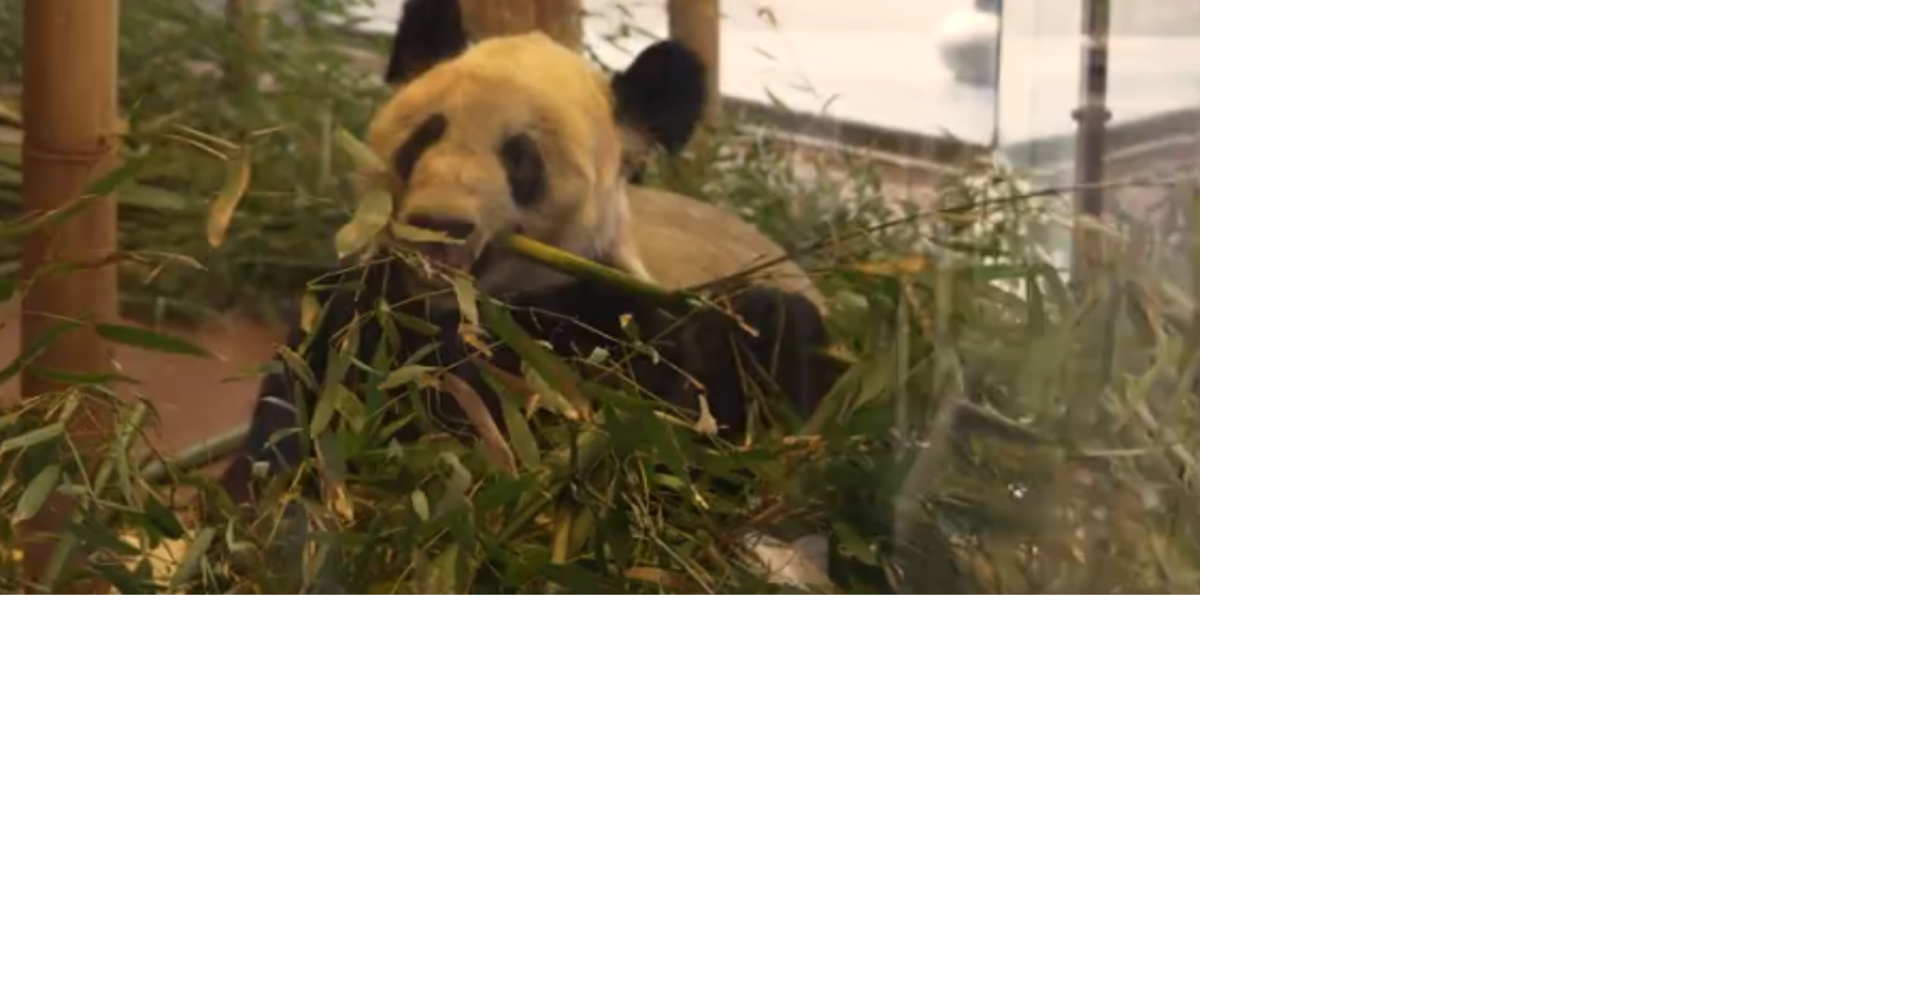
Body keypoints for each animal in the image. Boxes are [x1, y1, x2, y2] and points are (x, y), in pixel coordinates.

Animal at [221, 0, 842, 503]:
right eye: (426, 134)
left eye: (520, 157)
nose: (440, 225)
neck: (461, 307)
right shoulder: (360, 311)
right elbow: (297, 412)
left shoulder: (604, 326)